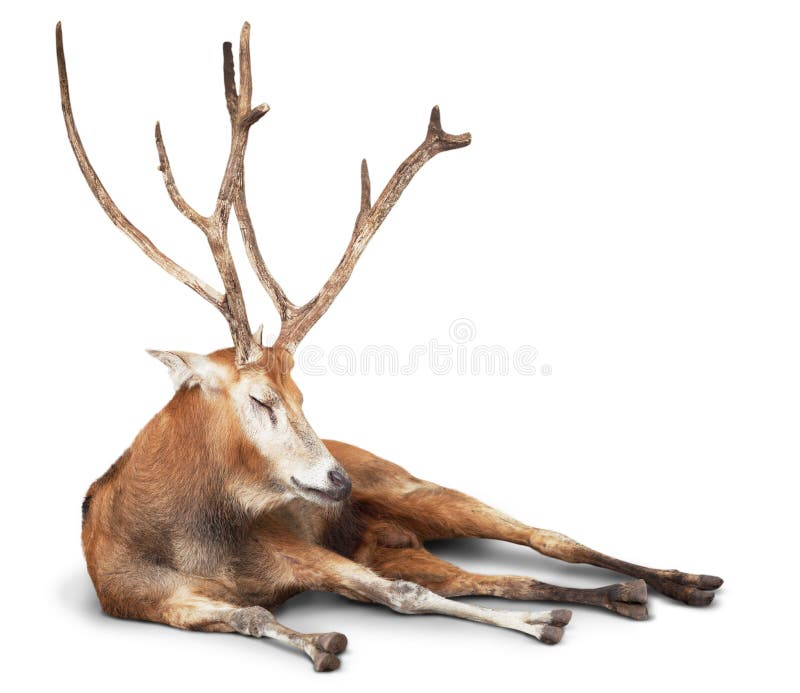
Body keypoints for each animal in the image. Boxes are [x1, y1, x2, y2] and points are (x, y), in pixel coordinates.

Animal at [57, 22, 723, 672]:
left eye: (302, 395)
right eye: (260, 399)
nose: (337, 479)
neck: (181, 534)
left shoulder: (296, 547)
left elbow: (406, 597)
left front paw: (539, 627)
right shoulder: (158, 602)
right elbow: (256, 615)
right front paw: (320, 642)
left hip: (415, 488)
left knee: (545, 537)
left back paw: (685, 581)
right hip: (396, 543)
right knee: (485, 576)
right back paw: (624, 594)